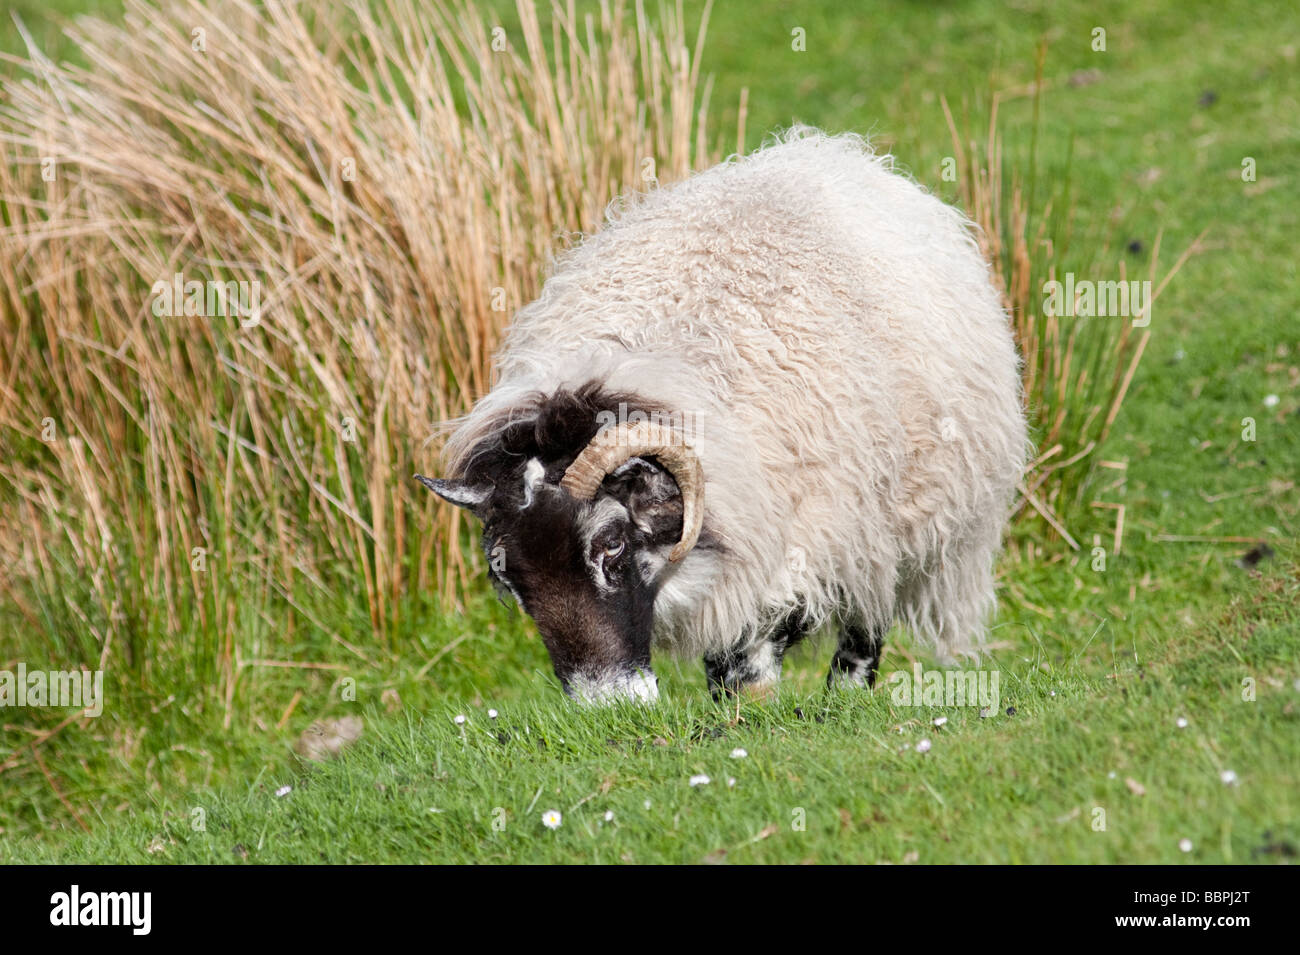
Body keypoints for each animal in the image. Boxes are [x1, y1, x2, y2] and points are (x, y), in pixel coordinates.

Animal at [417, 127, 1028, 703]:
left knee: (866, 615)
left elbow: (763, 636)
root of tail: (824, 151)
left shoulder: (804, 534)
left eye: (611, 546)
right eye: (508, 573)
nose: (607, 704)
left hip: (897, 517)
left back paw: (847, 691)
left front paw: (753, 699)